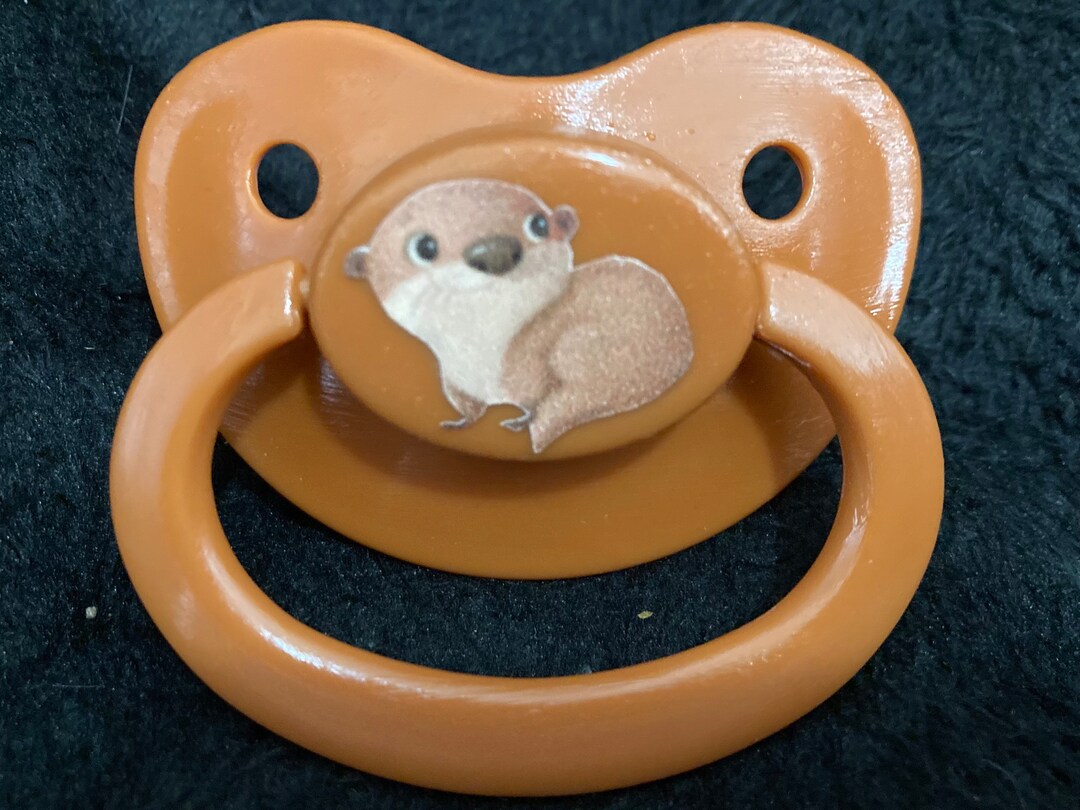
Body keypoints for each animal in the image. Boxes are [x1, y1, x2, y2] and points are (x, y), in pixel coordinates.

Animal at [344, 179, 693, 453]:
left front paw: (522, 422)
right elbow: (470, 410)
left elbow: (535, 404)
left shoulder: (531, 372)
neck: (483, 357)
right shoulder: (455, 381)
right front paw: (460, 423)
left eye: (539, 225)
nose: (494, 251)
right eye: (424, 246)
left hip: (587, 346)